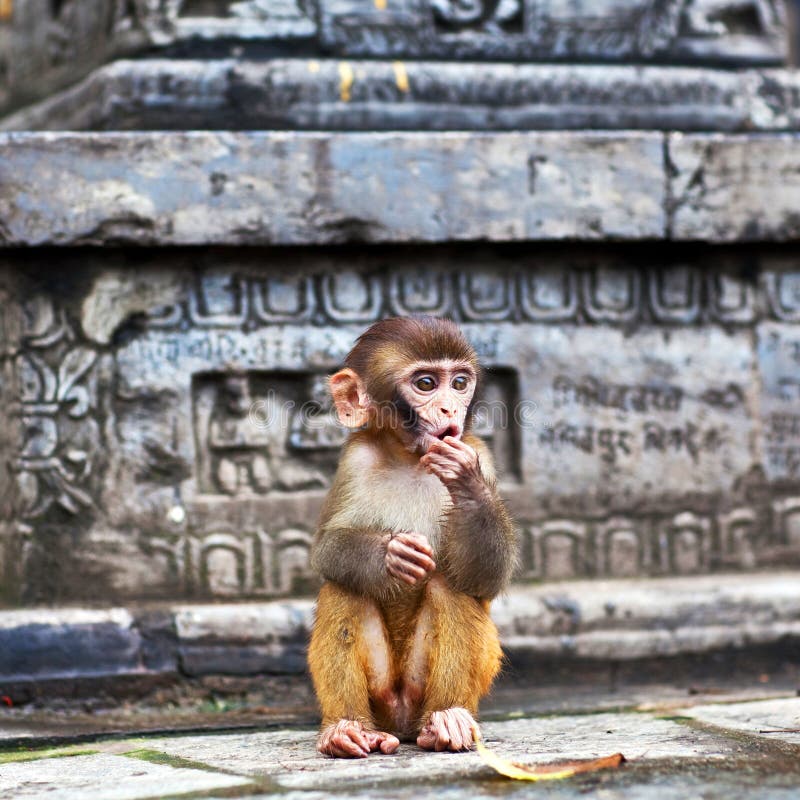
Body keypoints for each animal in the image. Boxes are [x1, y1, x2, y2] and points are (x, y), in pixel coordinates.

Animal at [307, 316, 517, 758]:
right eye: (425, 383)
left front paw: (465, 480)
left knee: (450, 585)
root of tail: (402, 723)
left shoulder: (482, 454)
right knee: (344, 585)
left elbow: (486, 578)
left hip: (420, 693)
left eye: (459, 383)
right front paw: (391, 555)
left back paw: (448, 719)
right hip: (383, 697)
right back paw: (345, 728)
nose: (450, 408)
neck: (410, 458)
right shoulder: (355, 459)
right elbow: (327, 549)